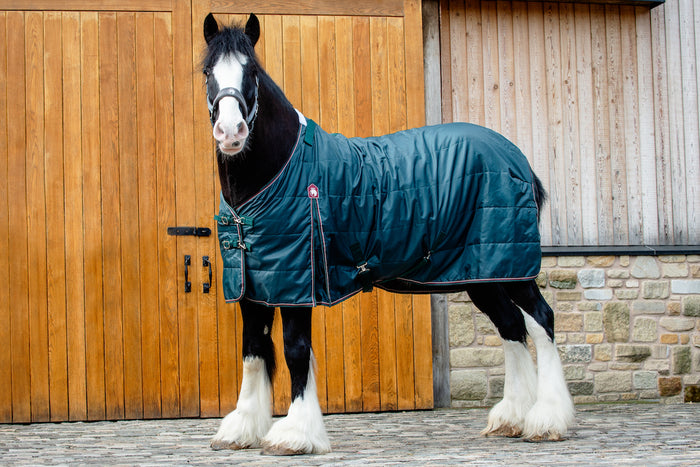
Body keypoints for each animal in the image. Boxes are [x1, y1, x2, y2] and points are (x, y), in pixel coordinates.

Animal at [202, 13, 574, 455]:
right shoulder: (252, 284)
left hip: (514, 268)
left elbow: (294, 350)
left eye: (253, 72)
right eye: (207, 72)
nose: (231, 131)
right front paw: (242, 427)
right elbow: (253, 350)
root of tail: (516, 158)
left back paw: (547, 420)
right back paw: (511, 418)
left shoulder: (298, 284)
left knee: (541, 320)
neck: (278, 174)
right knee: (511, 327)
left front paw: (296, 434)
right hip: (485, 273)